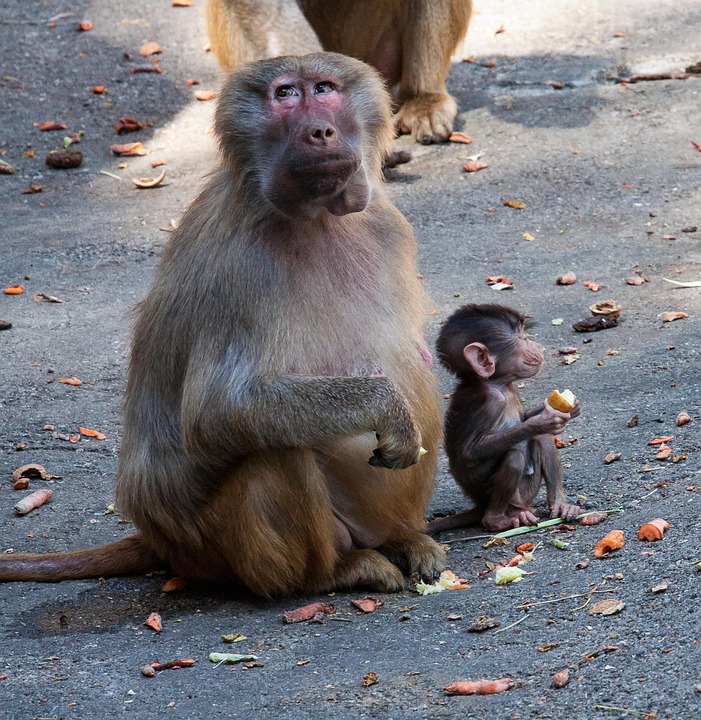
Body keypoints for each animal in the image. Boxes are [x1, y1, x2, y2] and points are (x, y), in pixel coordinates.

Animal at [0, 53, 445, 597]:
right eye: (285, 95)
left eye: (324, 88)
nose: (319, 131)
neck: (316, 218)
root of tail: (165, 546)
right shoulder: (240, 269)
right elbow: (217, 411)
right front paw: (388, 409)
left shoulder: (386, 224)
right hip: (222, 549)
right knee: (275, 451)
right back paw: (334, 573)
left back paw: (403, 542)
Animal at [428, 304, 582, 534]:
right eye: (522, 338)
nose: (540, 348)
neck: (496, 383)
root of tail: (480, 505)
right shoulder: (489, 402)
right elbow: (469, 453)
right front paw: (541, 422)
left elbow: (525, 417)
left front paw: (571, 409)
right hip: (508, 499)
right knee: (514, 458)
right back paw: (496, 520)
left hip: (527, 493)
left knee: (542, 439)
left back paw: (560, 505)